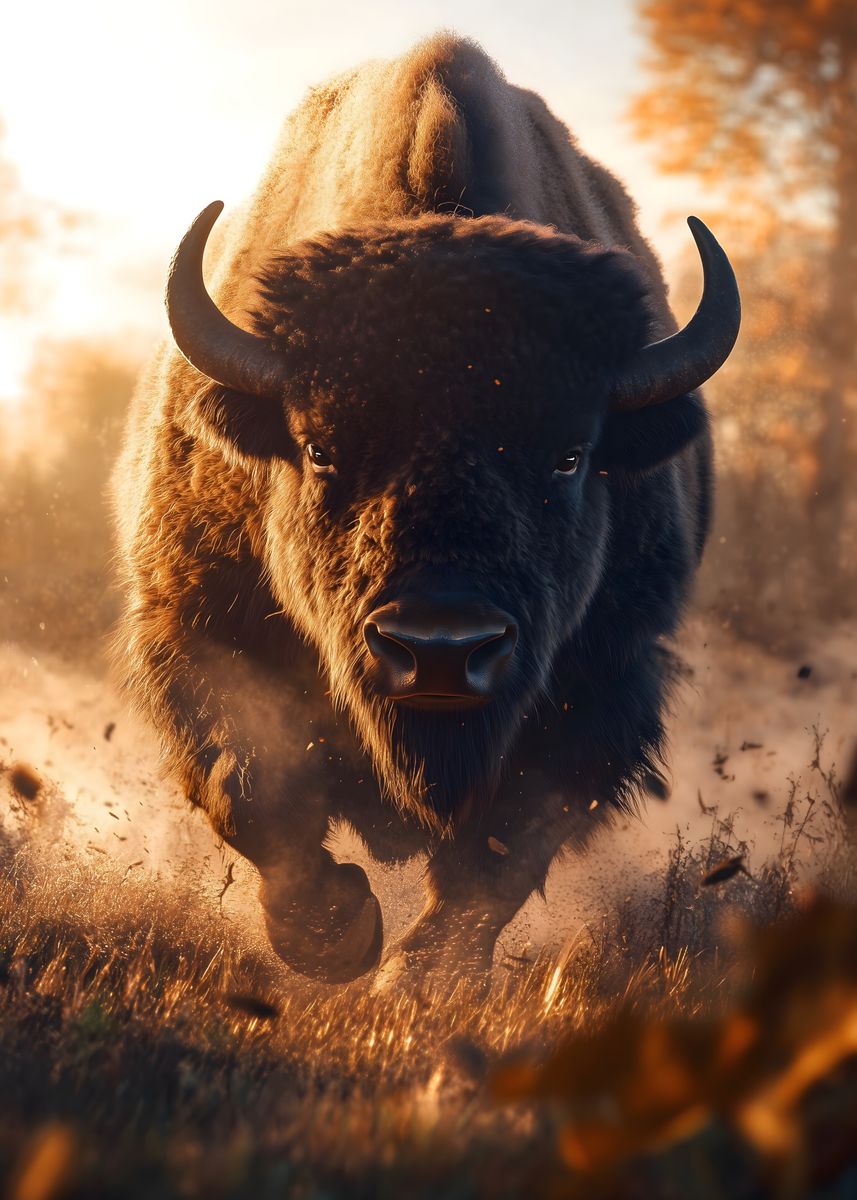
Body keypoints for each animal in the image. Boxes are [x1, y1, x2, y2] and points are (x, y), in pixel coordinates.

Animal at [112, 34, 740, 987]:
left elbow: (505, 847)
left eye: (569, 455)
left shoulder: (609, 675)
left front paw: (418, 980)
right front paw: (339, 936)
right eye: (321, 446)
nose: (441, 650)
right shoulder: (193, 624)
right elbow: (247, 788)